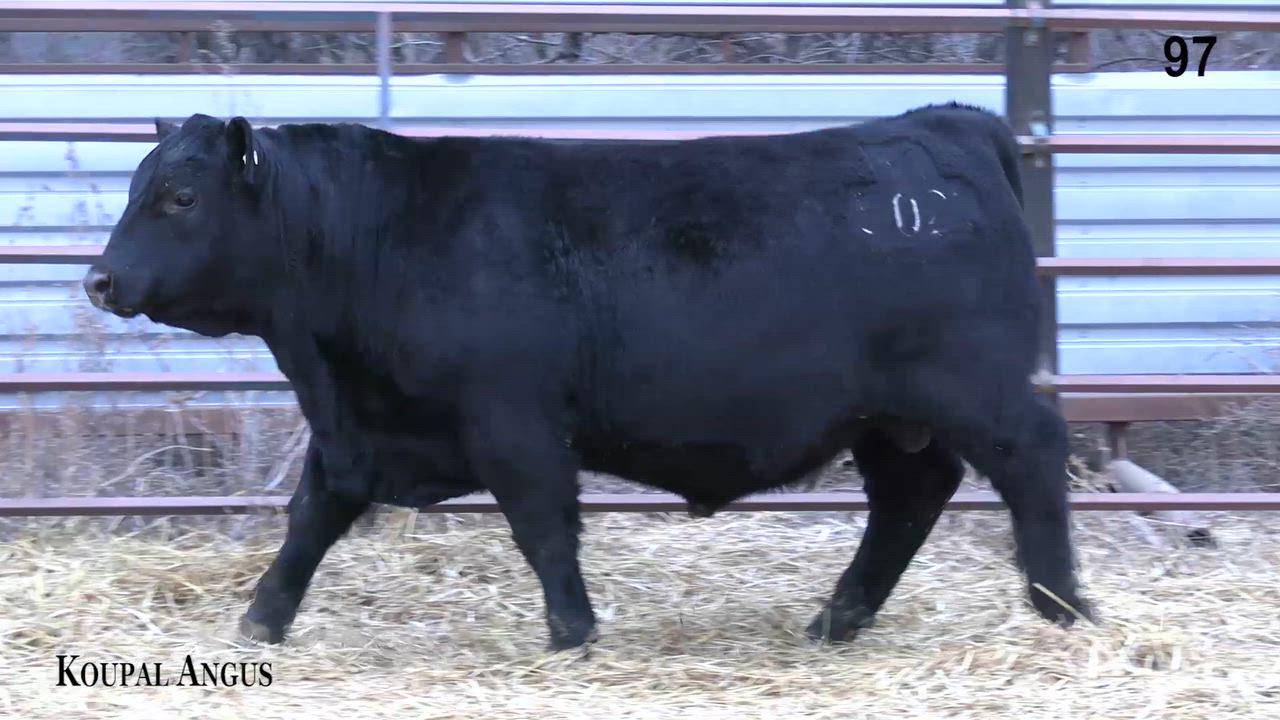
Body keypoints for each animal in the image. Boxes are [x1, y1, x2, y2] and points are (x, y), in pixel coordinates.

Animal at [82, 104, 1093, 653]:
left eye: (180, 197)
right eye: (135, 186)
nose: (100, 279)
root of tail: (943, 124)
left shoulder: (513, 424)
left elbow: (542, 527)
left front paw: (571, 632)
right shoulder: (354, 434)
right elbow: (309, 521)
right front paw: (261, 621)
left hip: (973, 390)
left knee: (1034, 459)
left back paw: (1060, 605)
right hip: (885, 418)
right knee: (913, 494)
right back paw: (838, 619)